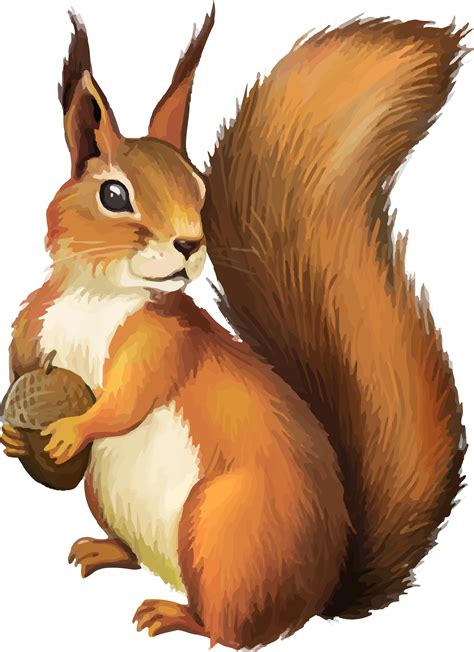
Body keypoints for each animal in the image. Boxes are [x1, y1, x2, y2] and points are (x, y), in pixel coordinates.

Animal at [0, 6, 467, 650]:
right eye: (114, 194)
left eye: (199, 188)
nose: (190, 243)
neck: (99, 293)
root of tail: (320, 593)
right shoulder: (32, 325)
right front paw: (15, 437)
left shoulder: (162, 346)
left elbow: (126, 401)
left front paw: (73, 429)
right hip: (114, 499)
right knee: (140, 558)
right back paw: (104, 551)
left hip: (223, 531)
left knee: (230, 629)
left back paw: (174, 615)